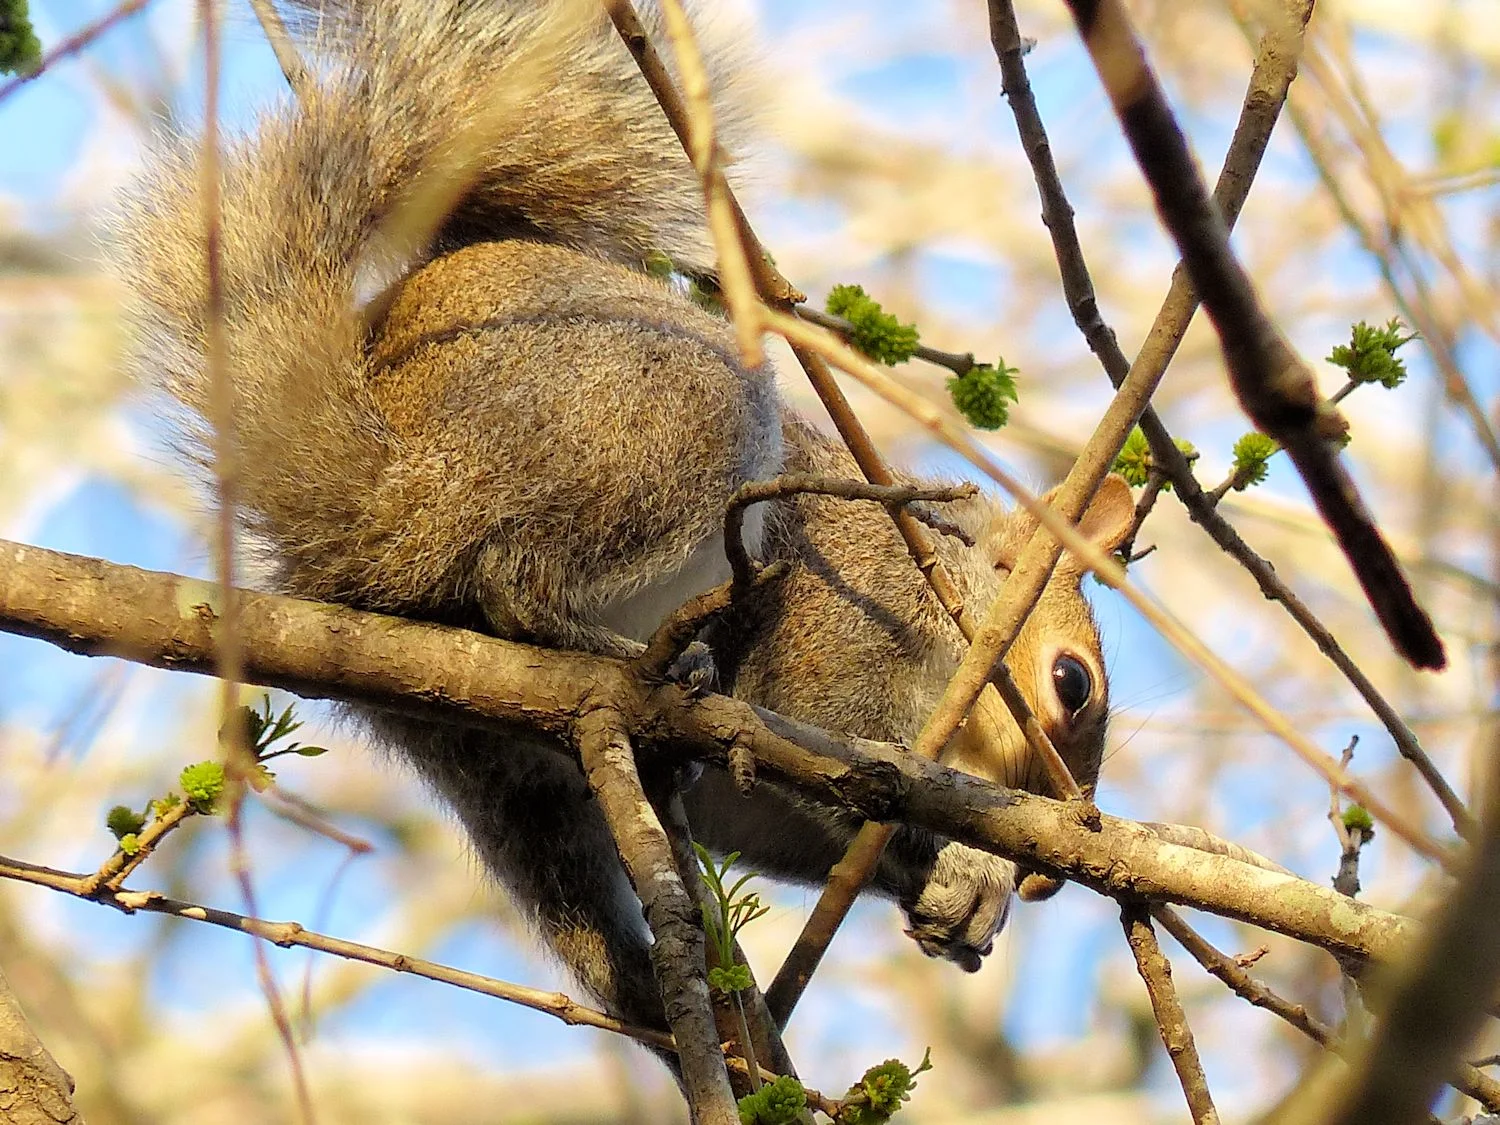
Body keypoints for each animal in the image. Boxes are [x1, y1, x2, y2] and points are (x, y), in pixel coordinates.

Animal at [115, 0, 1135, 1040]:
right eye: (1071, 683)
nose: (1048, 882)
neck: (933, 584)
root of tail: (385, 493)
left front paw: (958, 894)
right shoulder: (841, 634)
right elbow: (857, 766)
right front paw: (969, 863)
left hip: (483, 761)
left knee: (565, 890)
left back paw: (652, 991)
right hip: (667, 422)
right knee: (511, 577)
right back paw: (631, 663)